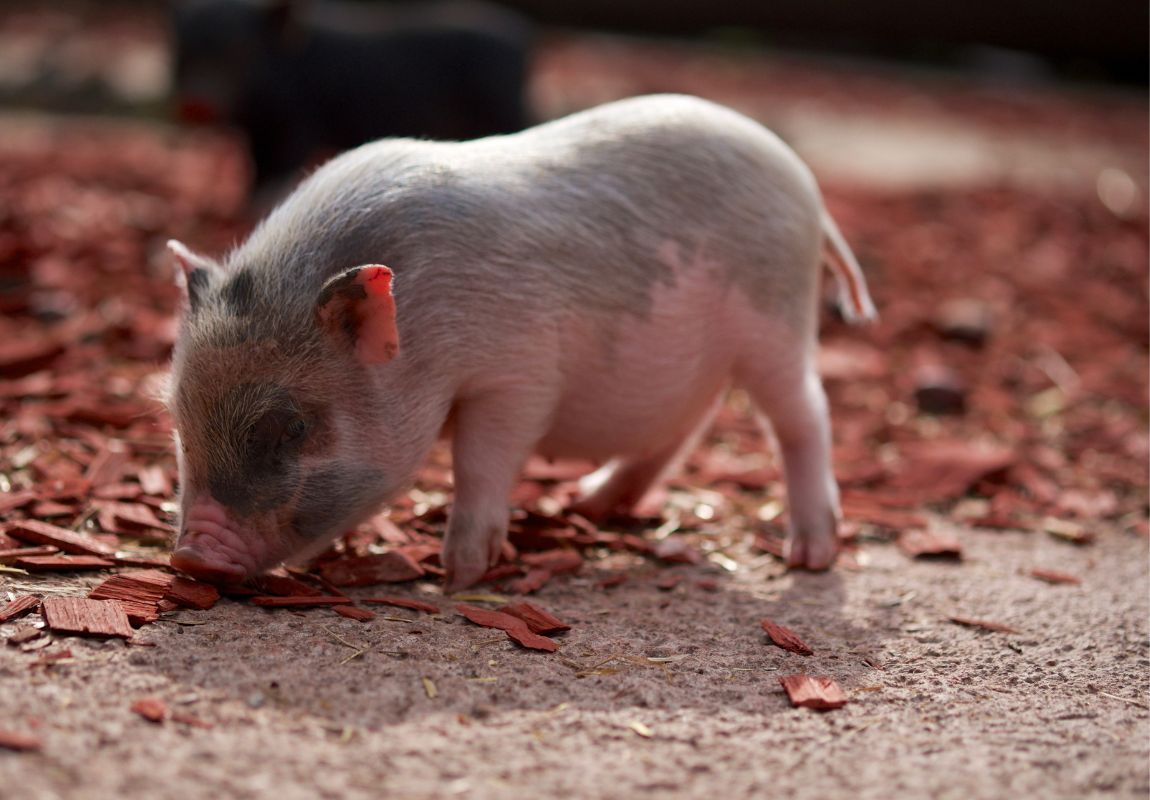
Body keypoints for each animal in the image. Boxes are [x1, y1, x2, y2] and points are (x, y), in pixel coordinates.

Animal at [164, 93, 876, 591]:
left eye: (292, 428)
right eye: (178, 421)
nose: (192, 557)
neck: (423, 324)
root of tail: (808, 187)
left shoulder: (516, 375)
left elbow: (482, 461)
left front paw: (459, 575)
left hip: (775, 323)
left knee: (805, 415)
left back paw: (810, 556)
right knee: (686, 426)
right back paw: (586, 502)